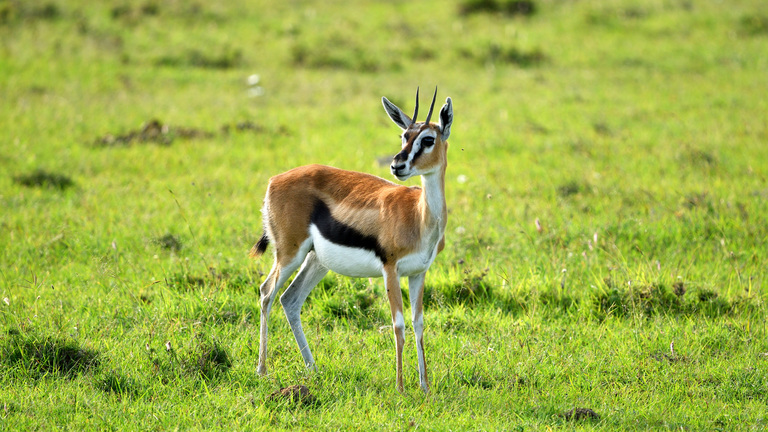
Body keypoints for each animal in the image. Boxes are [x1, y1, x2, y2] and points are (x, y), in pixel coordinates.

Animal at [250, 87, 453, 393]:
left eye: (428, 139)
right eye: (404, 135)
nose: (397, 165)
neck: (419, 216)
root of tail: (274, 180)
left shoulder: (418, 273)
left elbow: (418, 324)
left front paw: (425, 387)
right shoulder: (390, 270)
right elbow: (398, 325)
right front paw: (400, 388)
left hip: (316, 261)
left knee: (290, 299)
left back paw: (313, 369)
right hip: (289, 255)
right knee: (266, 293)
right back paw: (262, 370)